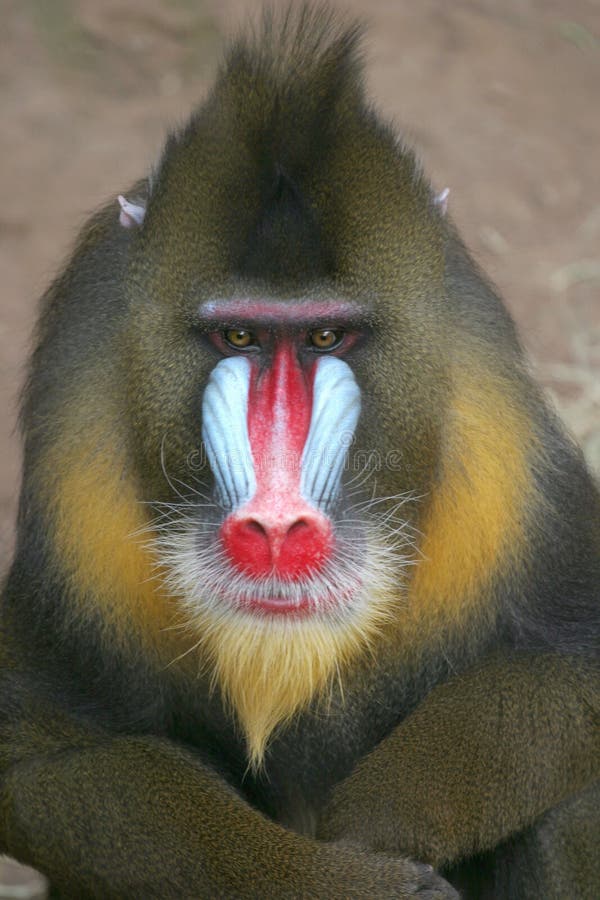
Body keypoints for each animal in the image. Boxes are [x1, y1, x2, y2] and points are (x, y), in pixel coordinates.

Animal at [0, 5, 598, 898]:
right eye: (239, 337)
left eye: (326, 337)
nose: (277, 529)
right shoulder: (78, 504)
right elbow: (47, 755)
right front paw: (356, 878)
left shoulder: (510, 479)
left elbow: (570, 669)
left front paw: (383, 819)